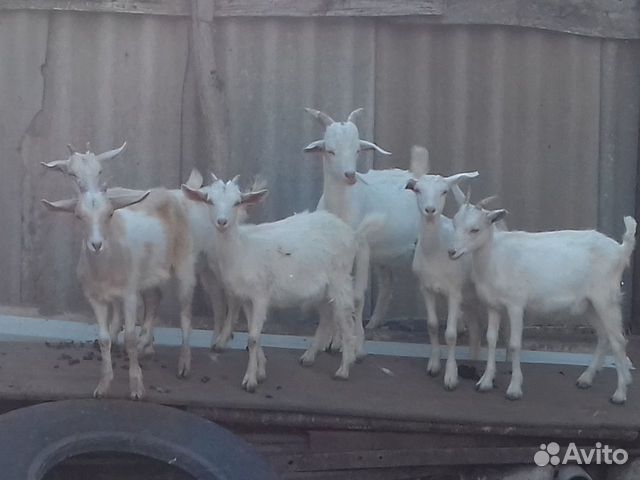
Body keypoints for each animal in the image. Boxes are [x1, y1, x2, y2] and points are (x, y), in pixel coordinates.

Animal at [42, 186, 196, 399]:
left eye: (110, 214)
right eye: (78, 216)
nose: (96, 245)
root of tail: (168, 192)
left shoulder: (129, 295)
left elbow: (129, 339)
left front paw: (136, 387)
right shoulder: (95, 298)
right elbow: (104, 339)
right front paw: (103, 385)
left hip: (184, 262)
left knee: (185, 314)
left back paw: (184, 364)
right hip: (147, 272)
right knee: (154, 298)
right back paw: (146, 345)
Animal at [182, 175, 380, 392]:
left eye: (237, 202)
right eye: (209, 201)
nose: (222, 222)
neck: (242, 248)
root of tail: (352, 233)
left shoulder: (260, 294)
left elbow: (253, 338)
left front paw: (250, 381)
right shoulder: (246, 298)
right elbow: (254, 334)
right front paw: (260, 371)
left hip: (340, 277)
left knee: (345, 319)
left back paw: (343, 369)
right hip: (322, 287)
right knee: (327, 316)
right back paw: (309, 357)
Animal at [303, 108, 420, 337]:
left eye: (357, 150)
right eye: (330, 151)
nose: (350, 175)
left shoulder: (362, 247)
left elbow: (356, 296)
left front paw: (351, 337)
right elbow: (336, 297)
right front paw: (335, 338)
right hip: (383, 254)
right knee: (387, 284)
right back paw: (374, 323)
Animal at [404, 146, 480, 389]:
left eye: (444, 192)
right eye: (417, 190)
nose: (430, 210)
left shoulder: (454, 292)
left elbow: (451, 334)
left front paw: (451, 376)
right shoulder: (426, 288)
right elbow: (431, 325)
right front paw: (434, 366)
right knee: (474, 327)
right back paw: (473, 360)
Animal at [449, 200, 636, 404]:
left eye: (474, 229)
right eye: (454, 224)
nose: (451, 252)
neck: (494, 258)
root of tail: (621, 250)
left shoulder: (515, 304)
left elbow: (514, 344)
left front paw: (514, 389)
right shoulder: (493, 305)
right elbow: (491, 339)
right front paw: (485, 383)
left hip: (606, 299)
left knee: (618, 341)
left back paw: (620, 393)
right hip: (590, 304)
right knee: (604, 337)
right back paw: (587, 379)